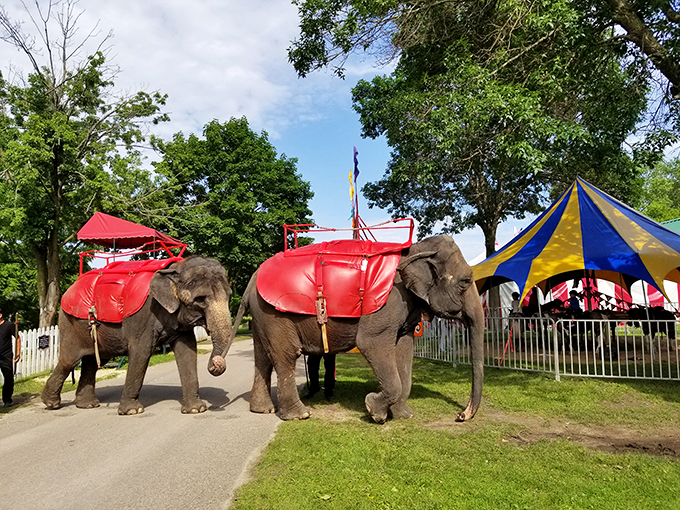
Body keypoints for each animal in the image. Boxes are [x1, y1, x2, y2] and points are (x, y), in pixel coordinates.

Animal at [41, 256, 233, 415]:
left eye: (230, 296)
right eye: (200, 299)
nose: (216, 365)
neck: (175, 267)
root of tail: (71, 288)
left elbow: (187, 352)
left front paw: (196, 409)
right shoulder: (143, 317)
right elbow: (141, 352)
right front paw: (132, 411)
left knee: (92, 362)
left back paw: (87, 405)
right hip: (70, 323)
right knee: (69, 360)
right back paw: (51, 404)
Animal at [221, 235, 484, 424]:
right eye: (465, 282)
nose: (460, 416)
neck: (415, 248)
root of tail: (252, 278)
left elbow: (405, 351)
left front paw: (404, 415)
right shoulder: (388, 303)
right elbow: (370, 343)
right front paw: (374, 411)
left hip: (261, 314)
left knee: (262, 357)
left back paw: (262, 410)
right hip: (274, 314)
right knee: (285, 355)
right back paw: (300, 415)